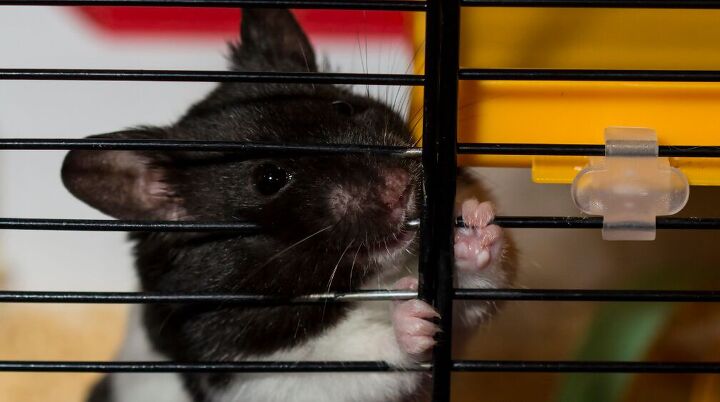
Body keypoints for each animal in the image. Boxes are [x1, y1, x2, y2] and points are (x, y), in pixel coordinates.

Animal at [61, 8, 515, 402]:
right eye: (269, 178)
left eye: (344, 107)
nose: (398, 188)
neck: (365, 284)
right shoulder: (253, 374)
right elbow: (348, 359)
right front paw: (412, 319)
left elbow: (473, 294)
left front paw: (476, 226)